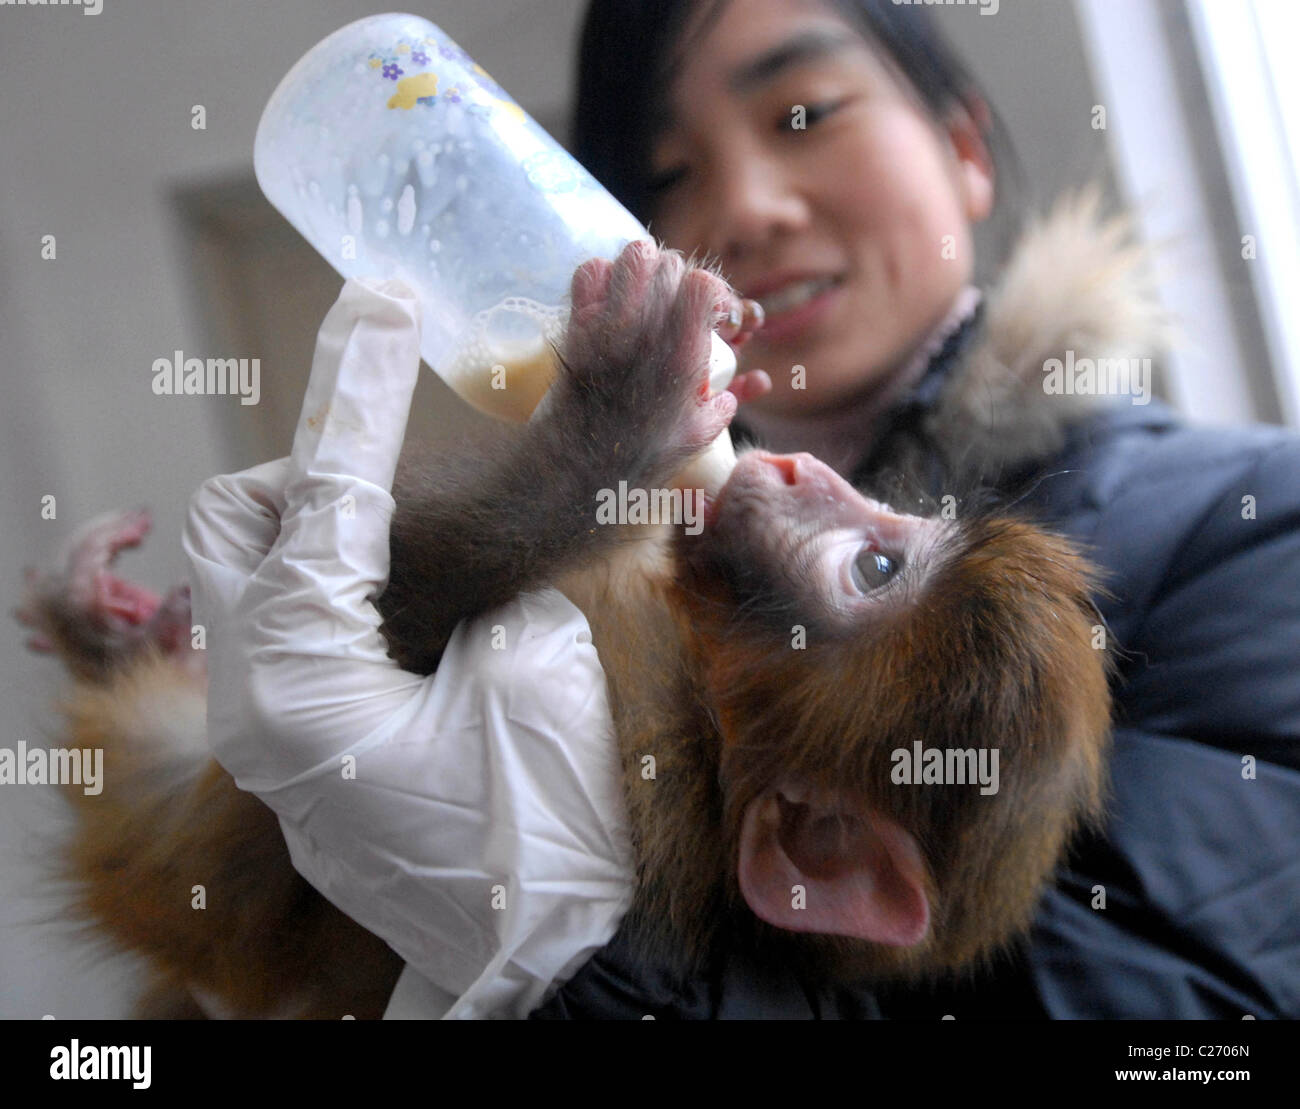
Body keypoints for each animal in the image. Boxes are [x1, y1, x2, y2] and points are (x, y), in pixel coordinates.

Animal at [14, 241, 1113, 1018]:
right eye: (898, 537)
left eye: (875, 571)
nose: (802, 469)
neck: (702, 674)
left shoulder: (646, 736)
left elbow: (388, 615)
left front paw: (608, 433)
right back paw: (108, 626)